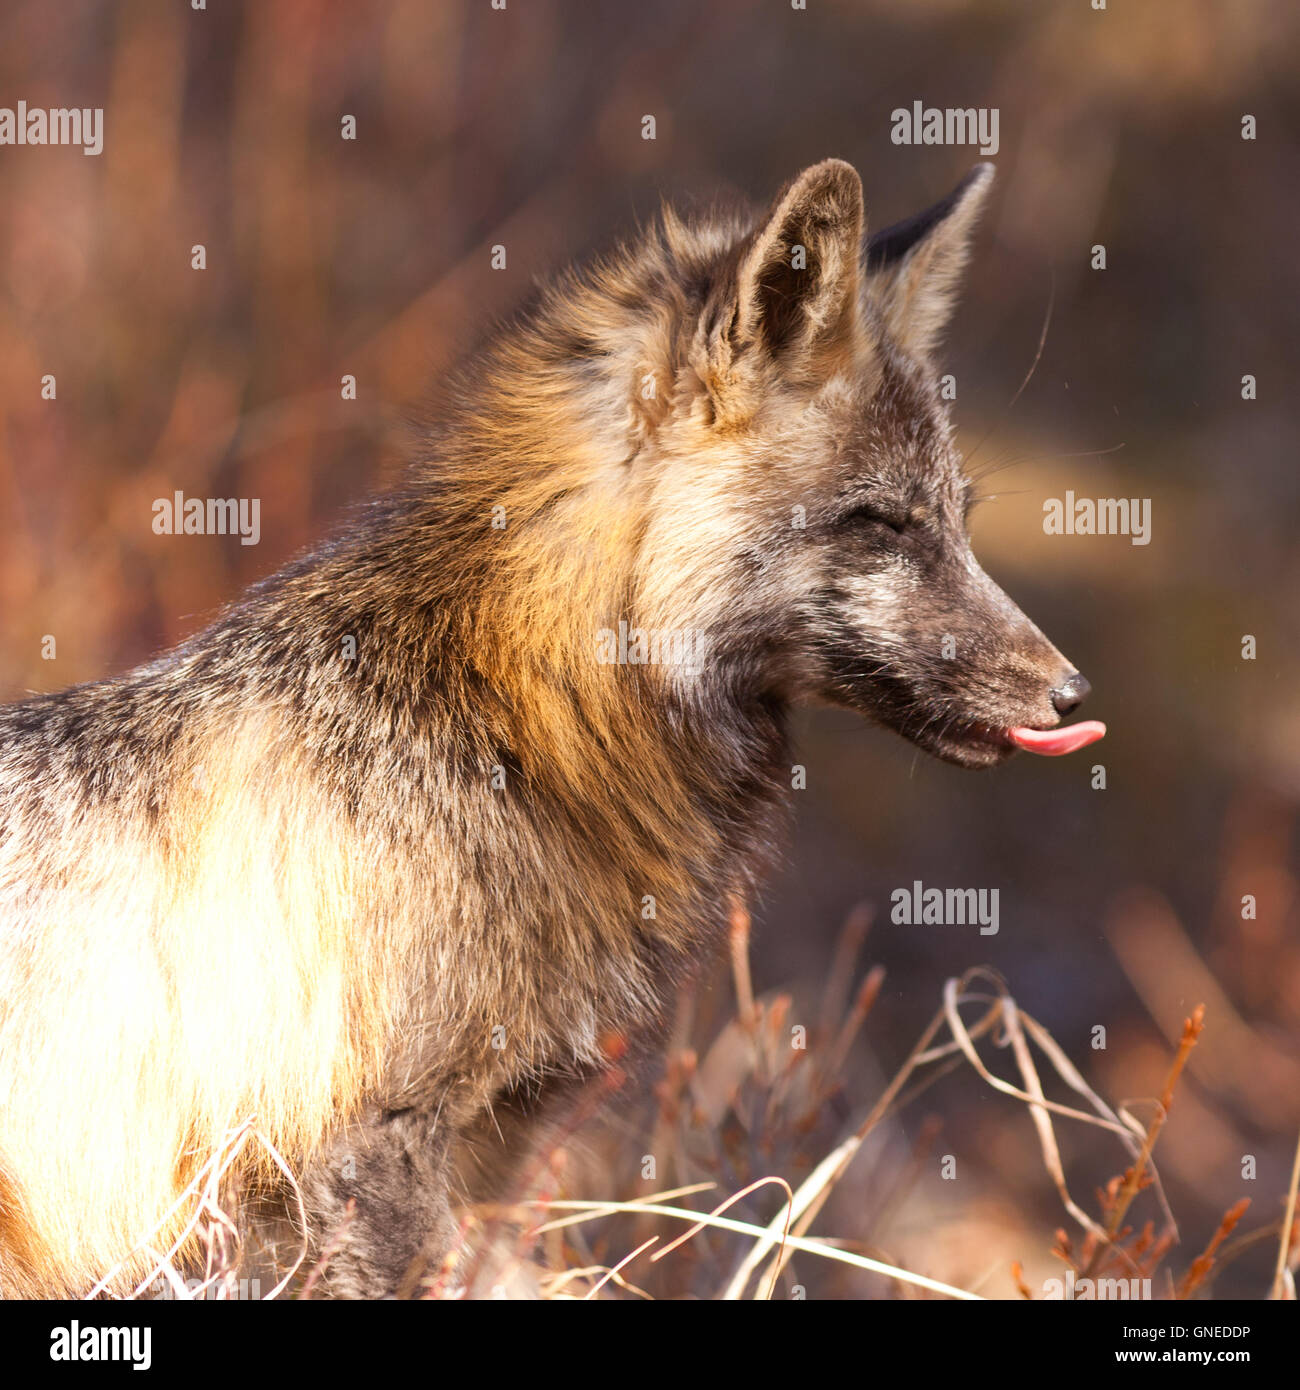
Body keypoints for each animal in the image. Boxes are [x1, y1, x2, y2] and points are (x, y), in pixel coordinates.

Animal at [0, 157, 1103, 1299]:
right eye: (881, 522)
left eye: (960, 519)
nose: (1071, 695)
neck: (517, 722)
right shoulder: (363, 1154)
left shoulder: (487, 1154)